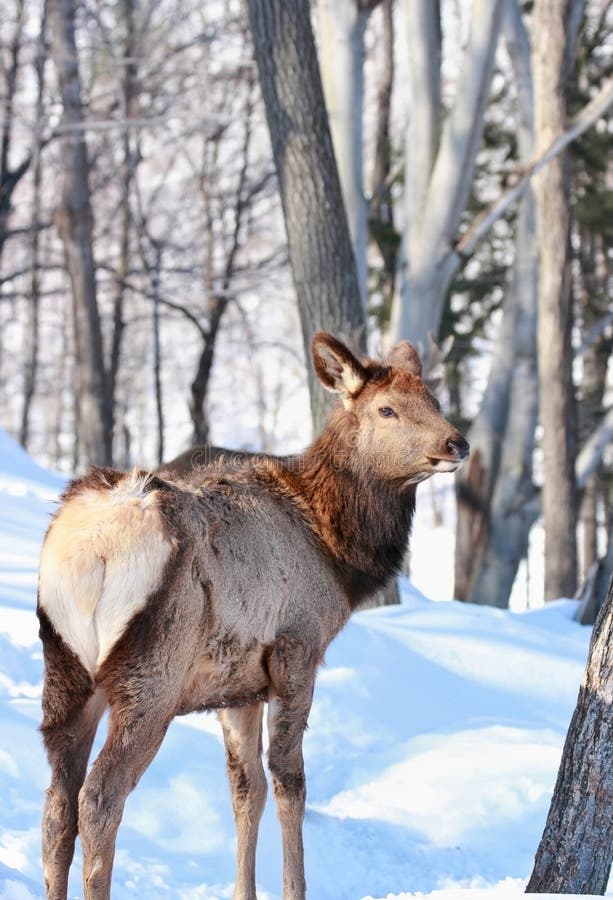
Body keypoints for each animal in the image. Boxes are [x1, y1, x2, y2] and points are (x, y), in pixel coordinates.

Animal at [37, 332, 469, 900]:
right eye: (387, 409)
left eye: (434, 401)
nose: (457, 444)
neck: (337, 553)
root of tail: (91, 549)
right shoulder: (296, 651)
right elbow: (289, 783)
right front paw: (295, 887)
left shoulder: (237, 685)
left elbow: (246, 790)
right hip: (151, 676)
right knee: (99, 798)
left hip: (65, 668)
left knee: (56, 807)